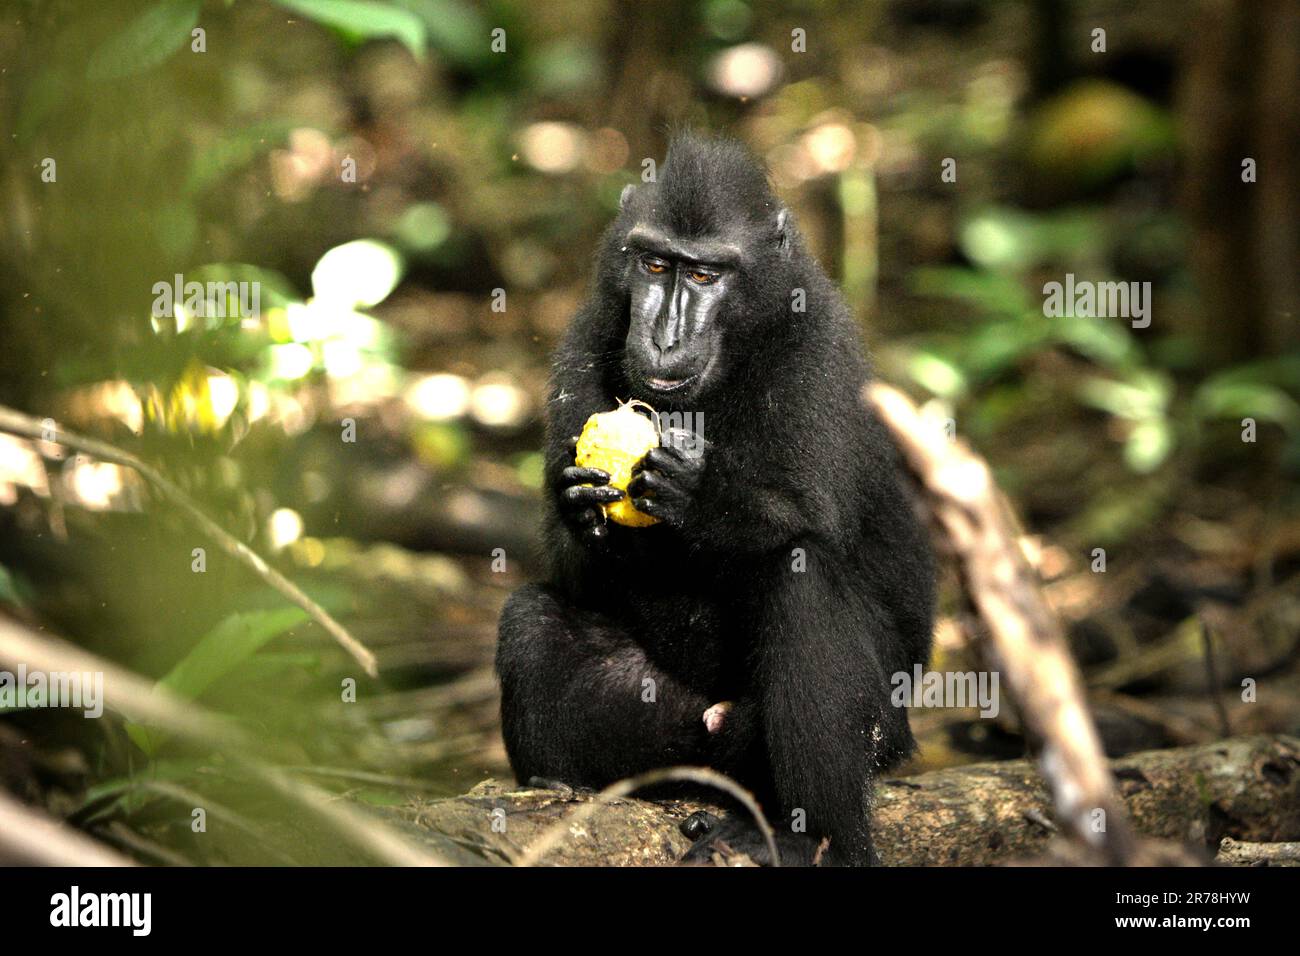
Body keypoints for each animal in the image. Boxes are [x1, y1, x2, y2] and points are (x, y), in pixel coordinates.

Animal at [495, 133, 935, 865]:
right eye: (654, 264)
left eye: (705, 276)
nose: (664, 337)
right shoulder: (588, 333)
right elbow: (574, 576)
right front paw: (580, 503)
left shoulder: (818, 351)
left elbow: (815, 527)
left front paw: (702, 498)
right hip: (672, 731)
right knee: (532, 618)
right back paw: (562, 788)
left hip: (881, 731)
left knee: (800, 577)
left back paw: (809, 834)